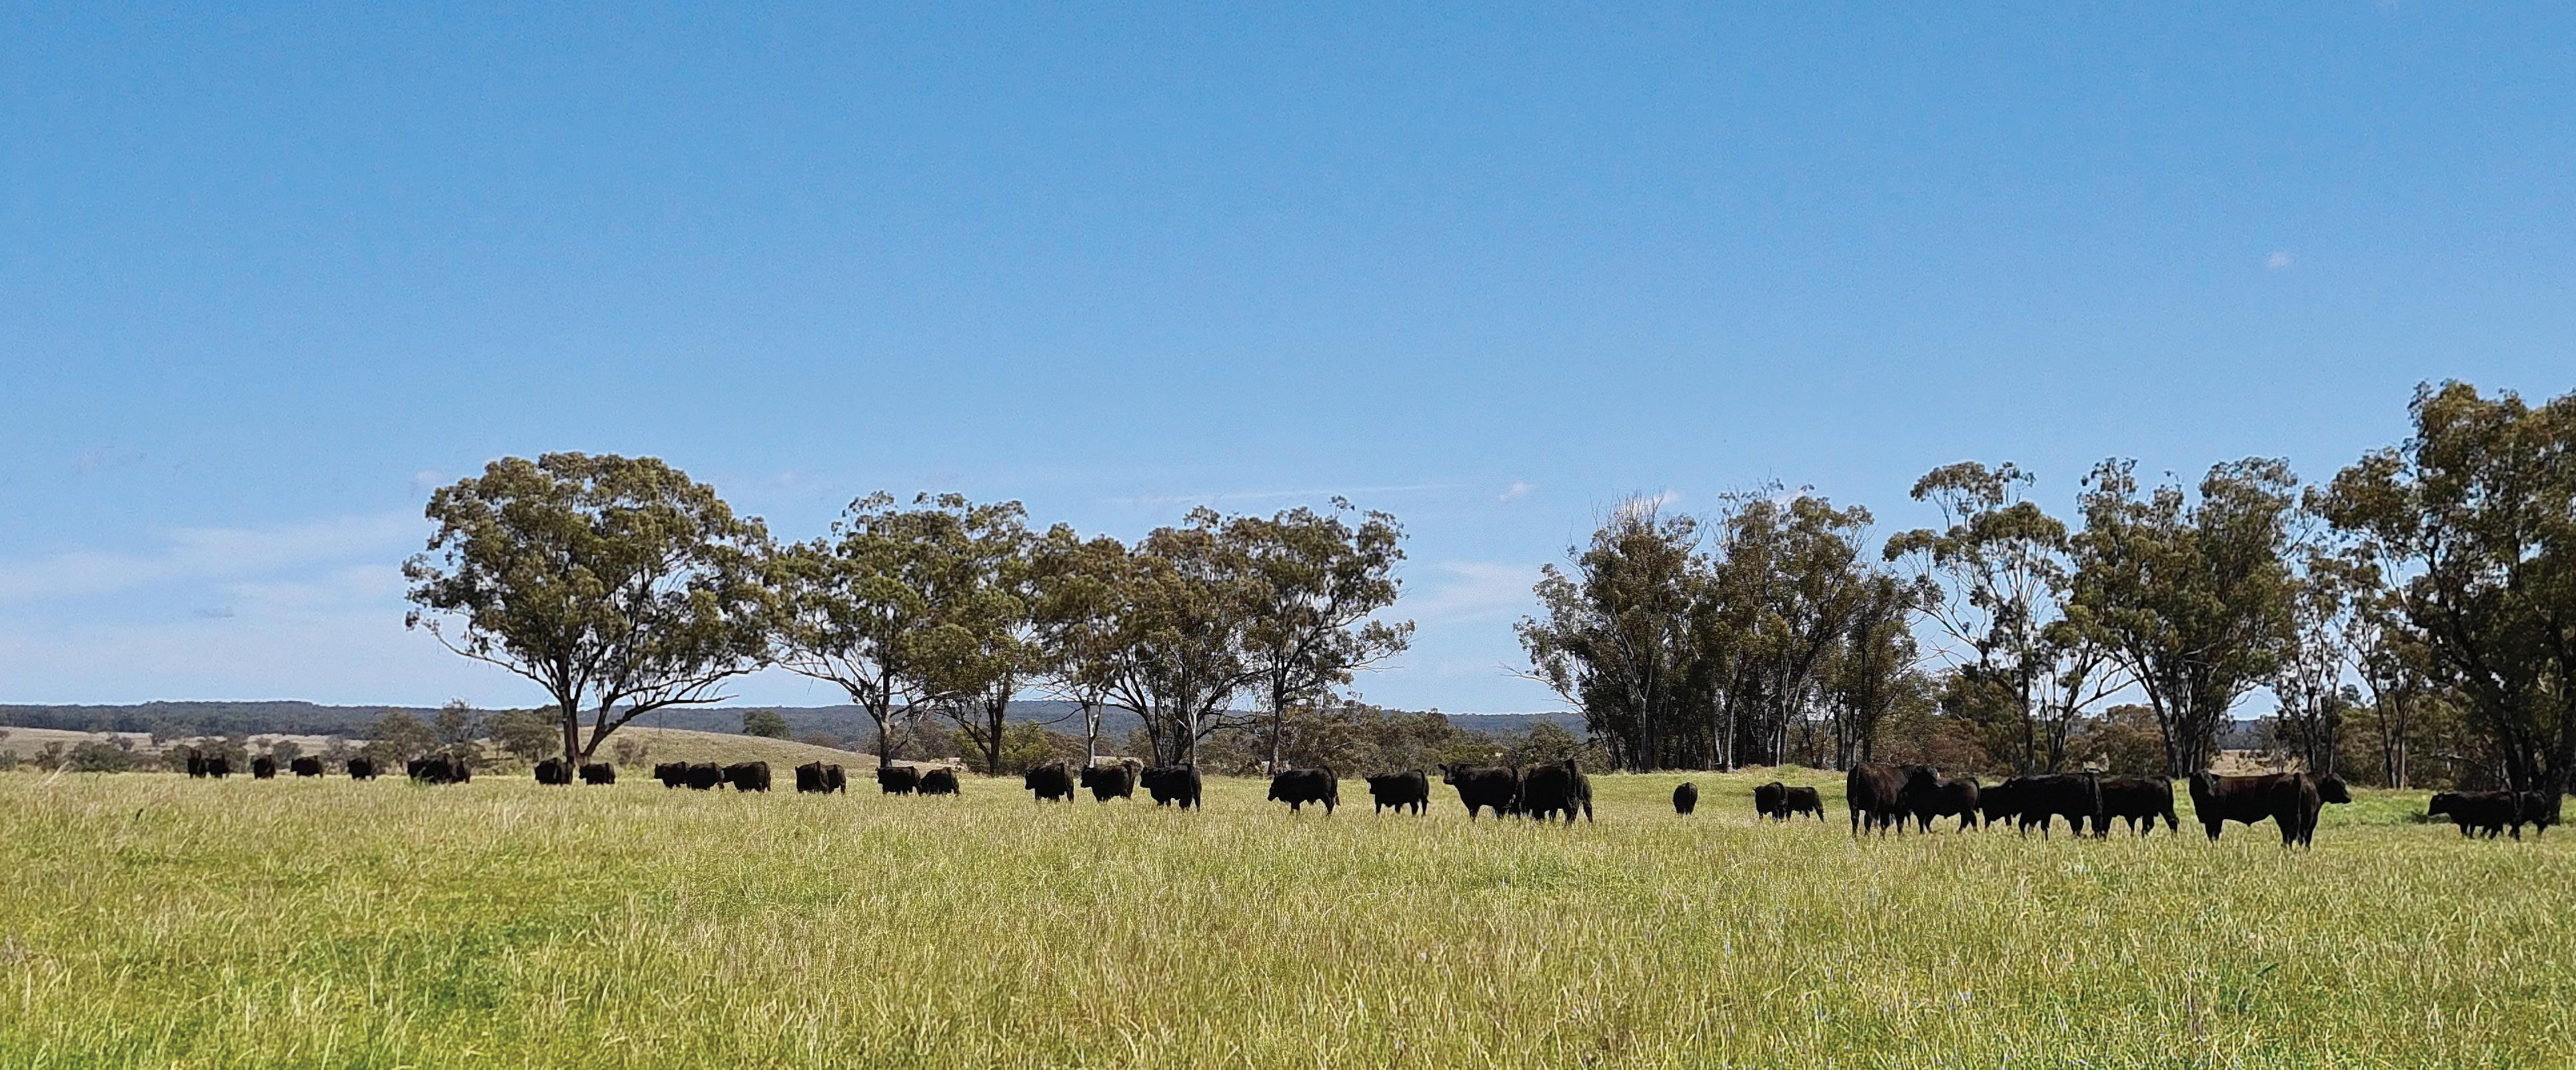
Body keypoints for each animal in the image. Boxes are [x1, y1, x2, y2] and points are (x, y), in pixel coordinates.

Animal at [2188, 772, 2352, 847]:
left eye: (2210, 781)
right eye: (2199, 781)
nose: (2349, 797)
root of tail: (2297, 776)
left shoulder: (2214, 819)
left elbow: (2213, 836)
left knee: (2291, 836)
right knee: (2297, 837)